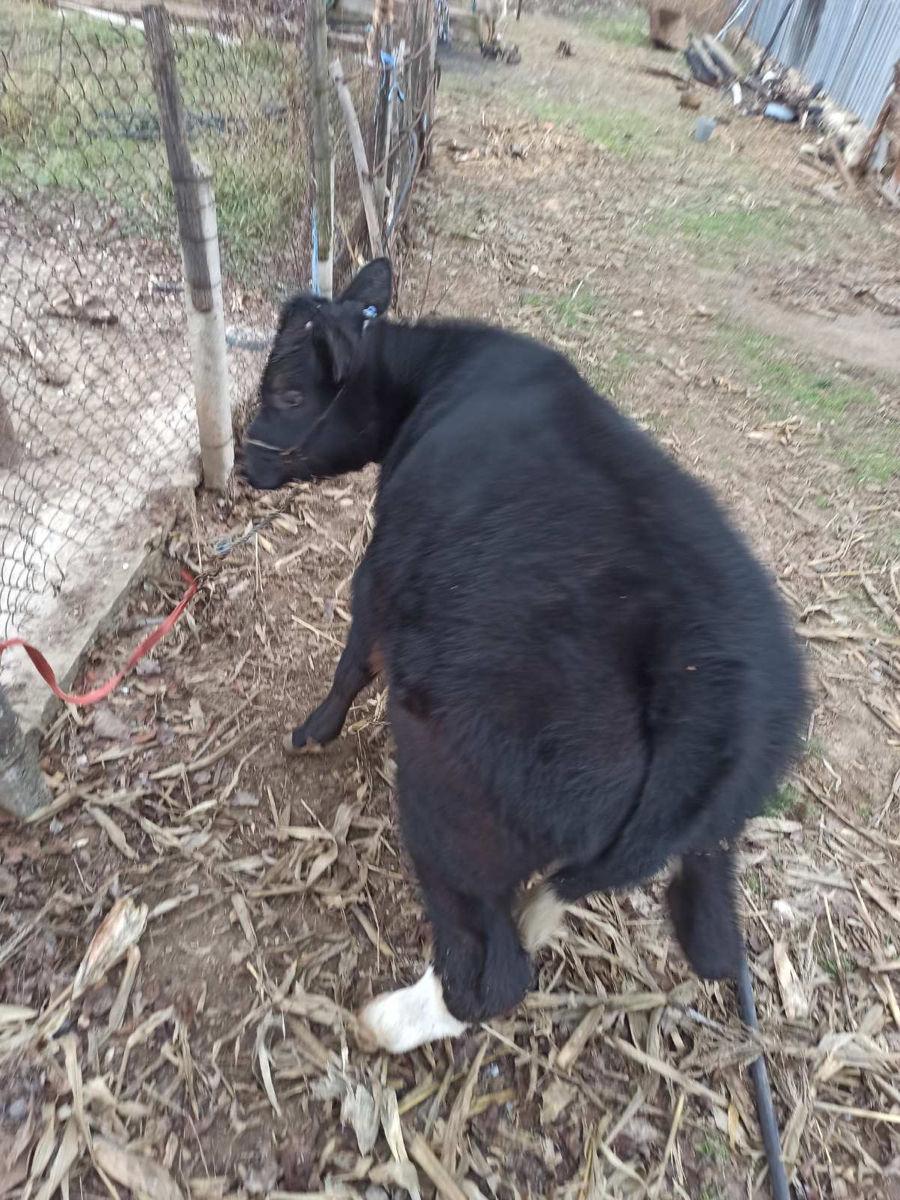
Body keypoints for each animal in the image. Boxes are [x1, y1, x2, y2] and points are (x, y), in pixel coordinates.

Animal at [241, 257, 807, 1064]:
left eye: (289, 393)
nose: (244, 463)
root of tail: (706, 707)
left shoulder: (379, 571)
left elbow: (354, 660)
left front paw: (312, 730)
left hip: (450, 799)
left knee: (490, 975)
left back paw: (388, 1019)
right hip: (703, 852)